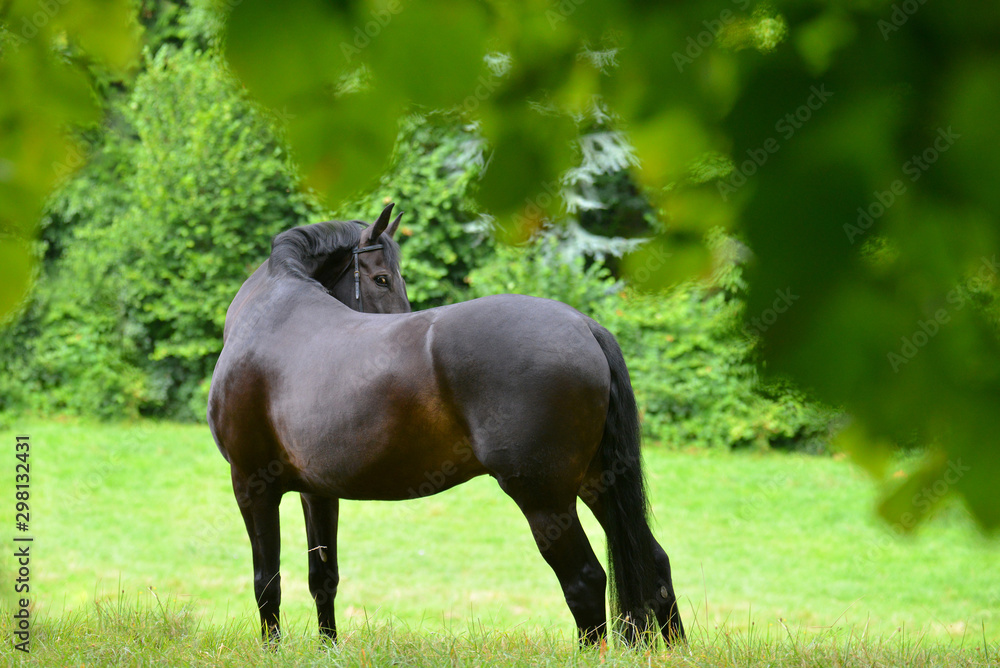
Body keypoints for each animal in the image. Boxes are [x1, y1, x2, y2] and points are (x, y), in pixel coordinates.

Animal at [207, 202, 684, 646]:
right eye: (382, 279)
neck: (271, 313)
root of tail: (584, 325)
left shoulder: (252, 485)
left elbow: (266, 582)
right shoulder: (317, 493)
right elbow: (322, 577)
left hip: (545, 498)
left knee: (584, 580)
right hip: (595, 483)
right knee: (655, 561)